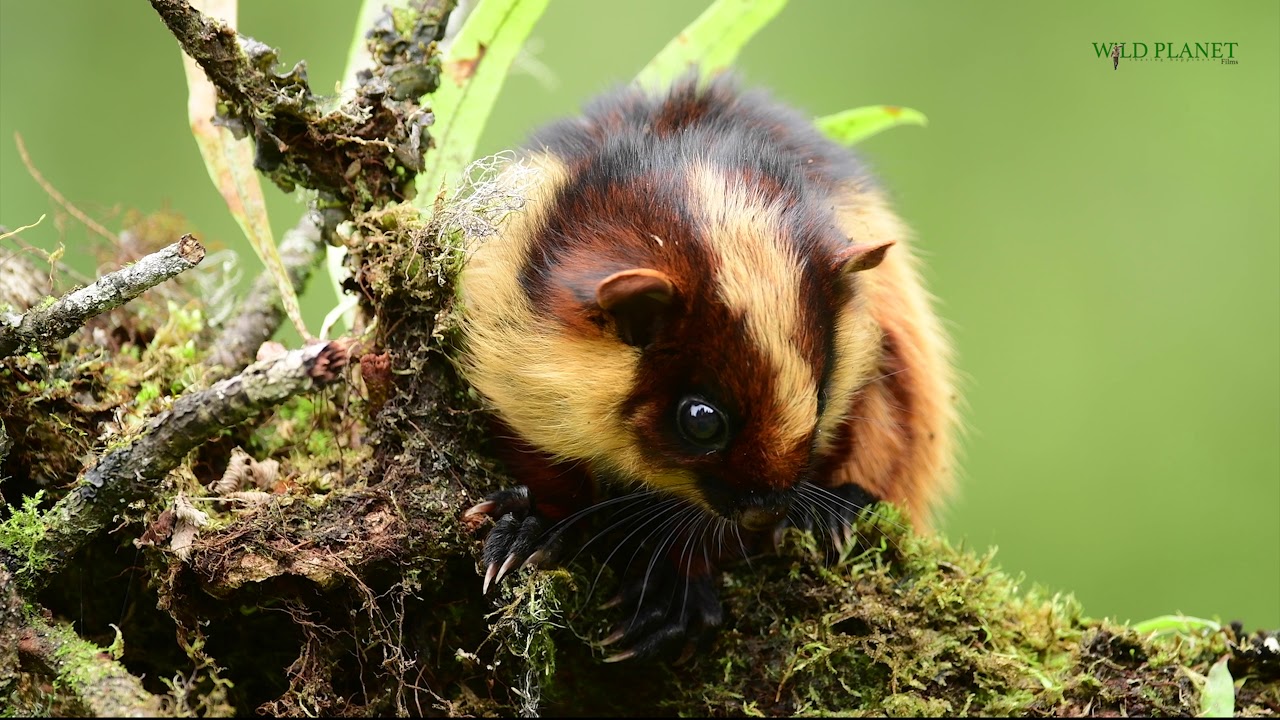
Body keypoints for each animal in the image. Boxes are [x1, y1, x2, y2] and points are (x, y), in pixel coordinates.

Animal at [457, 75, 956, 663]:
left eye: (820, 394)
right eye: (700, 421)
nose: (767, 511)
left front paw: (675, 588)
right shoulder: (511, 340)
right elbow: (538, 449)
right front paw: (533, 525)